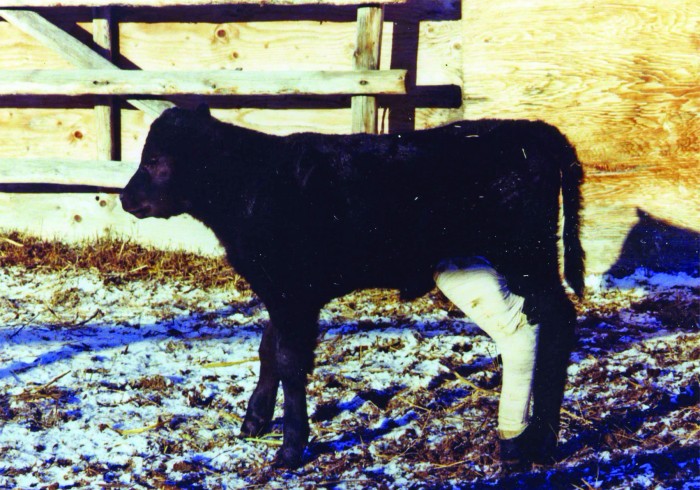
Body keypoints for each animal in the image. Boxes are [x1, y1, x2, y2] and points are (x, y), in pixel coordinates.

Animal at [121, 105, 584, 469]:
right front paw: (254, 421)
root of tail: (531, 130)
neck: (250, 184)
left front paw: (290, 449)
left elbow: (290, 362)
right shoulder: (282, 291)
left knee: (557, 321)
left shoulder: (292, 292)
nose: (125, 199)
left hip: (527, 256)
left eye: (155, 159)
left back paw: (541, 441)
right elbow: (268, 350)